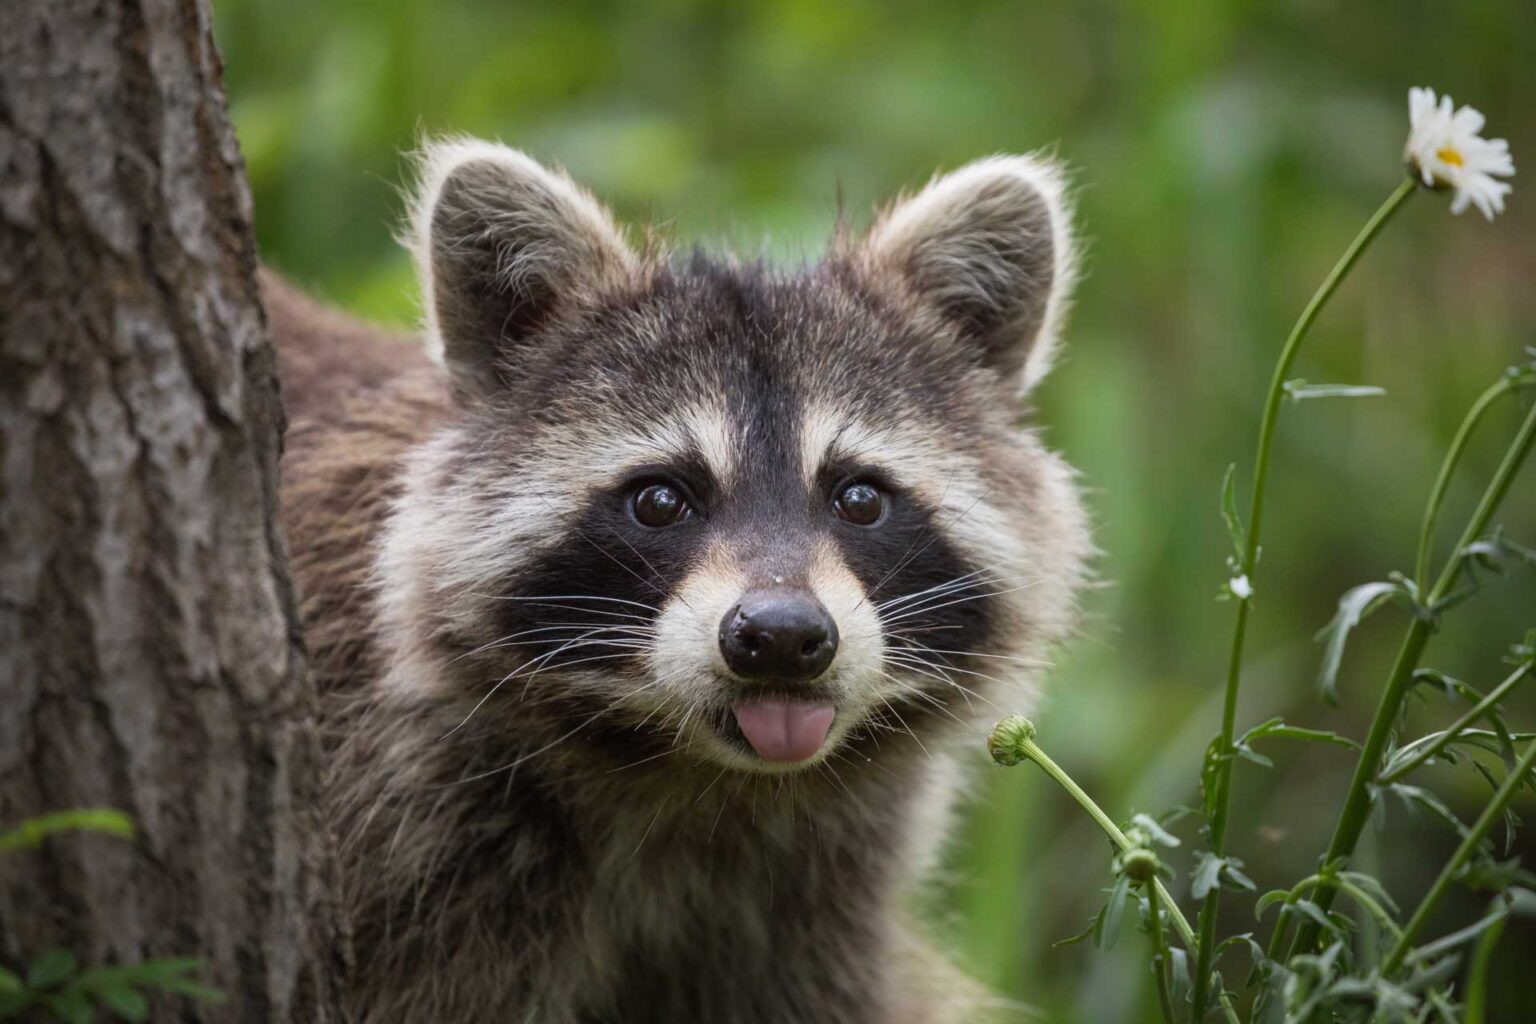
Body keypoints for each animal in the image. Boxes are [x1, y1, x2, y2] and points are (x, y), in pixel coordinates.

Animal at [272, 139, 1092, 1023]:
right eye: (662, 499)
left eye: (860, 498)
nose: (782, 637)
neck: (700, 781)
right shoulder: (416, 848)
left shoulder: (813, 903)